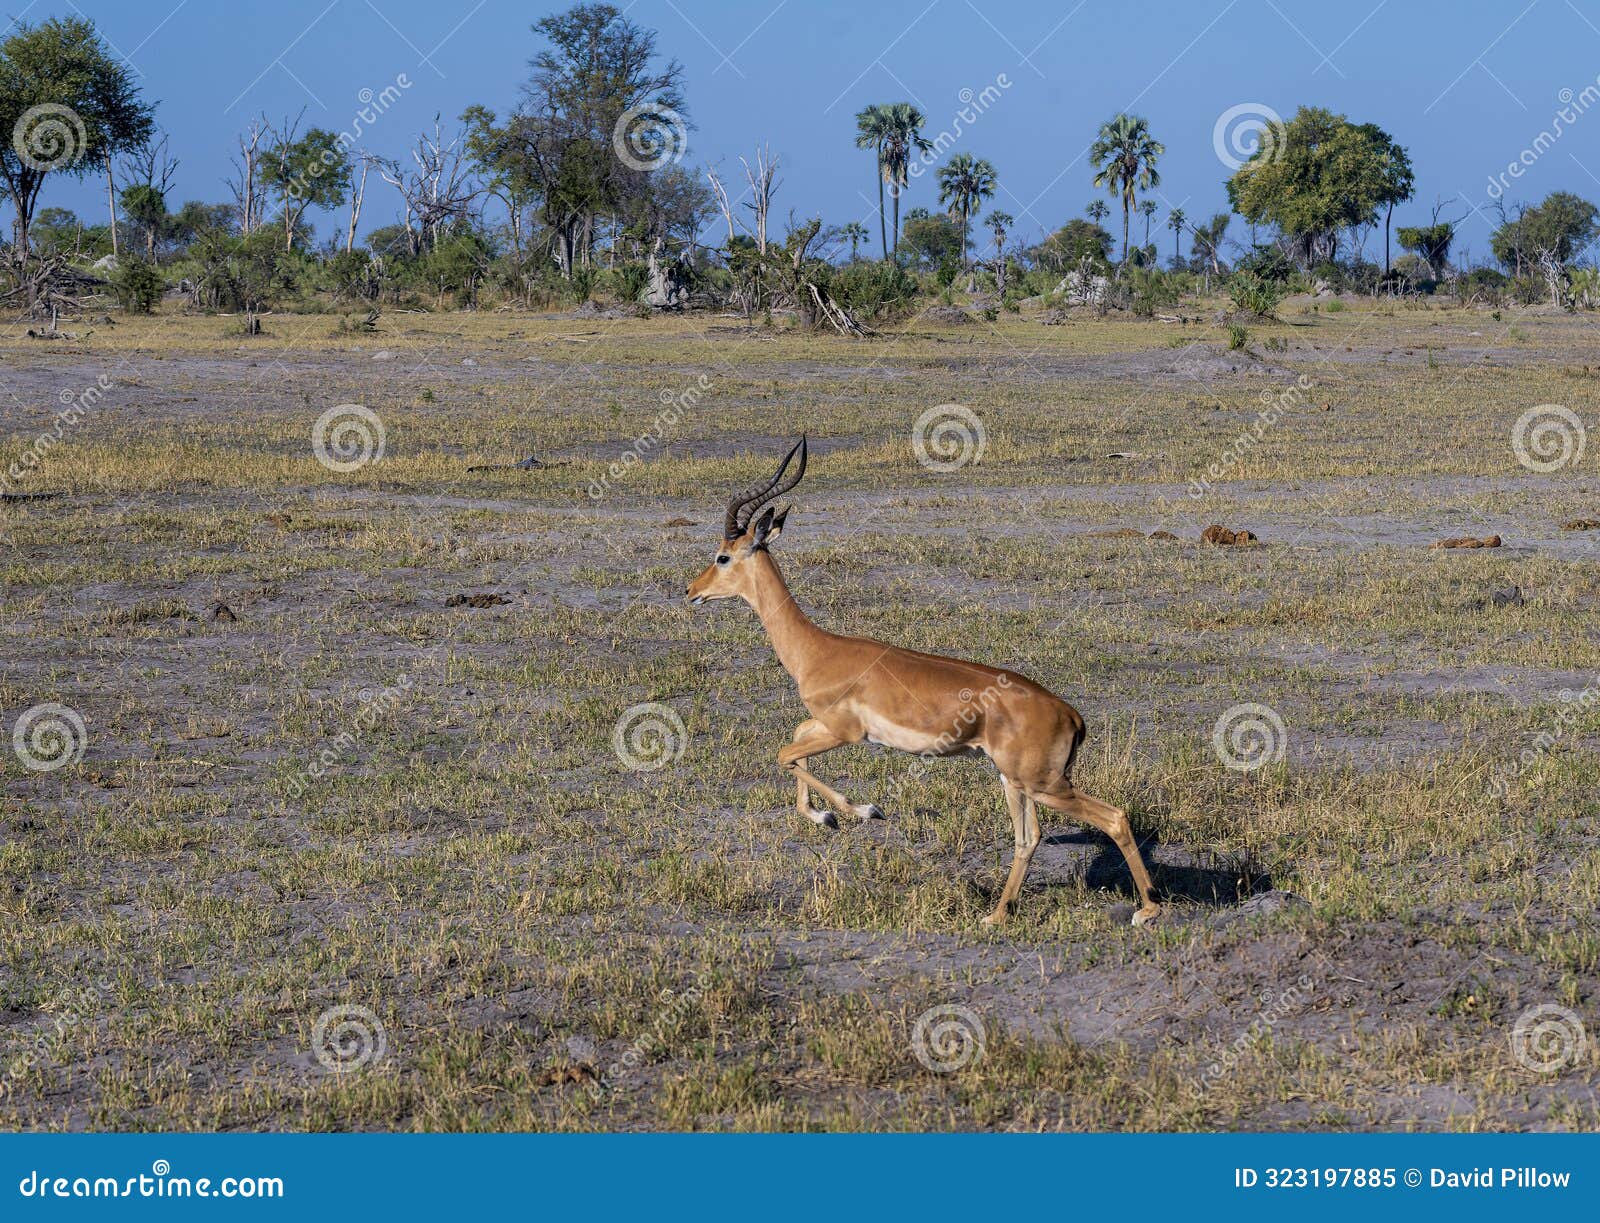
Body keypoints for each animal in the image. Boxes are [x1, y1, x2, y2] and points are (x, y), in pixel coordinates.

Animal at [685, 437, 1162, 927]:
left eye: (723, 555)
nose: (691, 591)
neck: (817, 650)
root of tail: (1071, 715)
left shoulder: (844, 732)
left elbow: (785, 753)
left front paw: (863, 811)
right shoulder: (824, 726)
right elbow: (794, 744)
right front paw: (827, 818)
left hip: (1044, 785)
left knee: (1114, 817)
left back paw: (1147, 909)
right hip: (1015, 782)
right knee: (1029, 838)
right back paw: (996, 916)